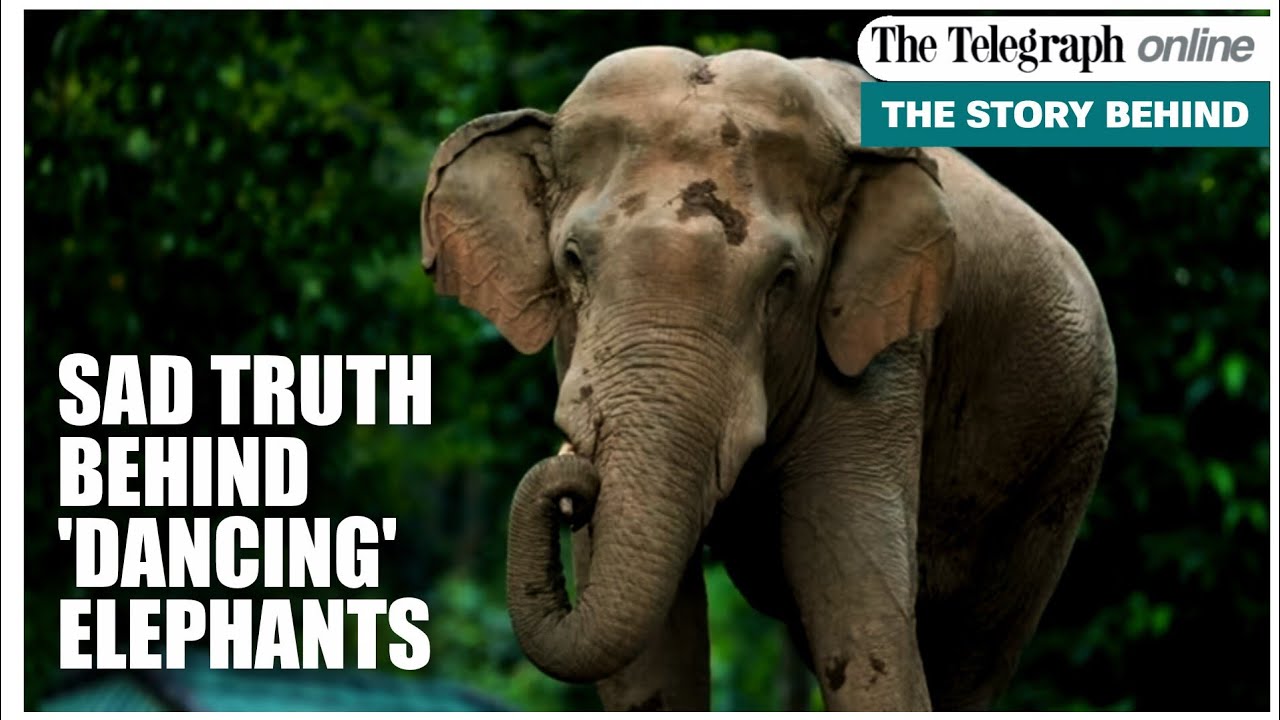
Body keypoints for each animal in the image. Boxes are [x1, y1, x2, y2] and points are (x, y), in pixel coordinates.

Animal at [419, 47, 1117, 711]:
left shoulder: (881, 358)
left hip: (1070, 451)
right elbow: (650, 658)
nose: (571, 485)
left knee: (970, 654)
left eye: (783, 281)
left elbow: (860, 610)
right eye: (572, 260)